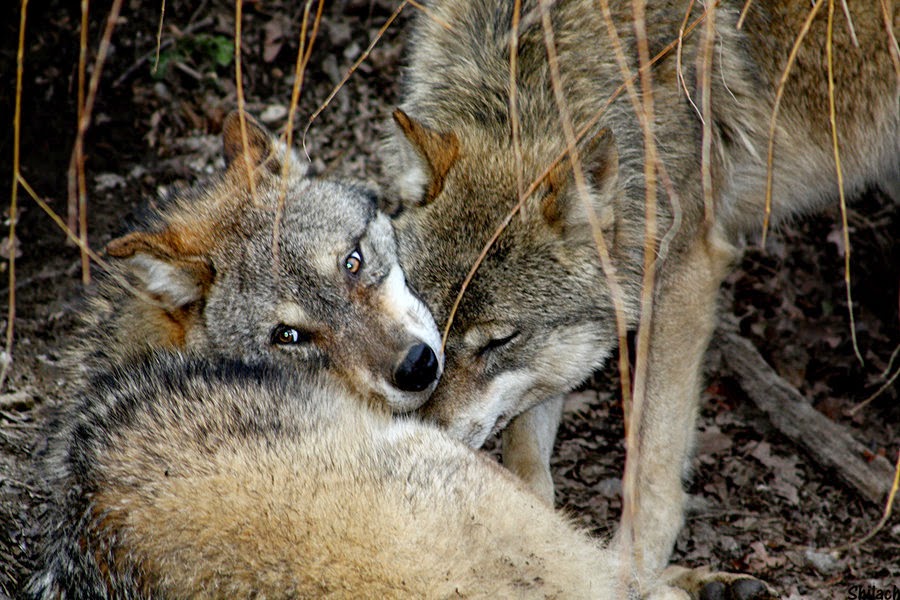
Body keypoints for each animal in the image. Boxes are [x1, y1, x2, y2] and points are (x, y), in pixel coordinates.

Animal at [386, 0, 898, 588]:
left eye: (499, 341)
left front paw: (629, 572)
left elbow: (651, 460)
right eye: (427, 336)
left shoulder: (685, 273)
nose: (420, 444)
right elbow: (527, 439)